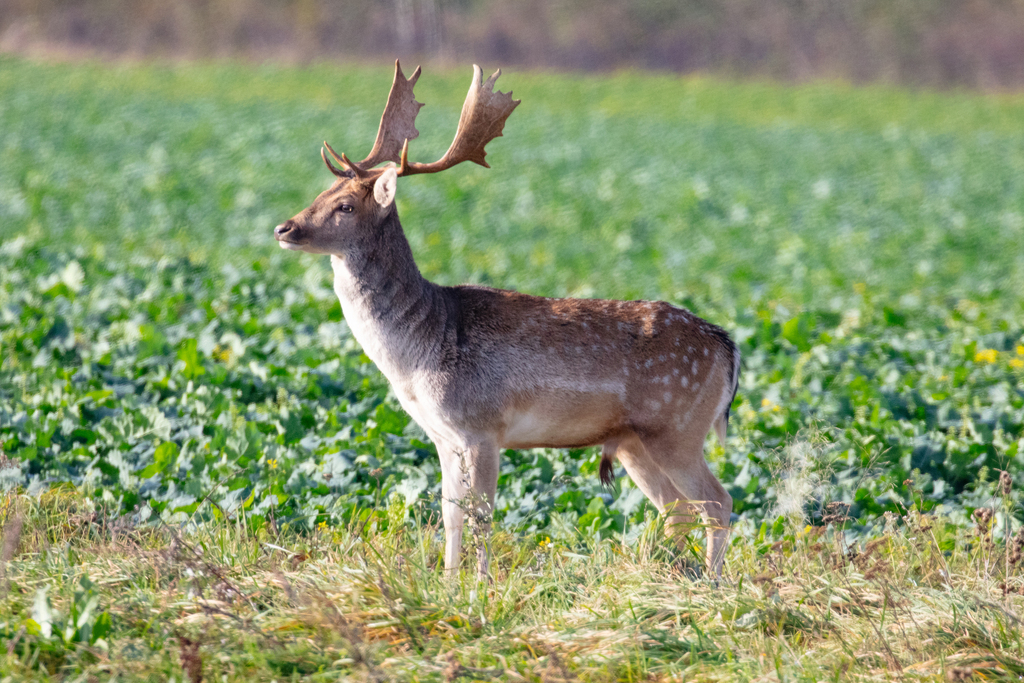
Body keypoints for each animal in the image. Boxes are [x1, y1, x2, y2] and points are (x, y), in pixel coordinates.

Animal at [273, 62, 740, 578]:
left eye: (346, 205)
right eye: (323, 191)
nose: (284, 228)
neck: (419, 352)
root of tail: (728, 347)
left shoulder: (483, 425)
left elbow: (482, 517)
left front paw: (479, 584)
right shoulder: (443, 436)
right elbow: (451, 514)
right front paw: (448, 581)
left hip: (677, 427)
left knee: (718, 502)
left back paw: (710, 586)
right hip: (635, 441)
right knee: (677, 508)